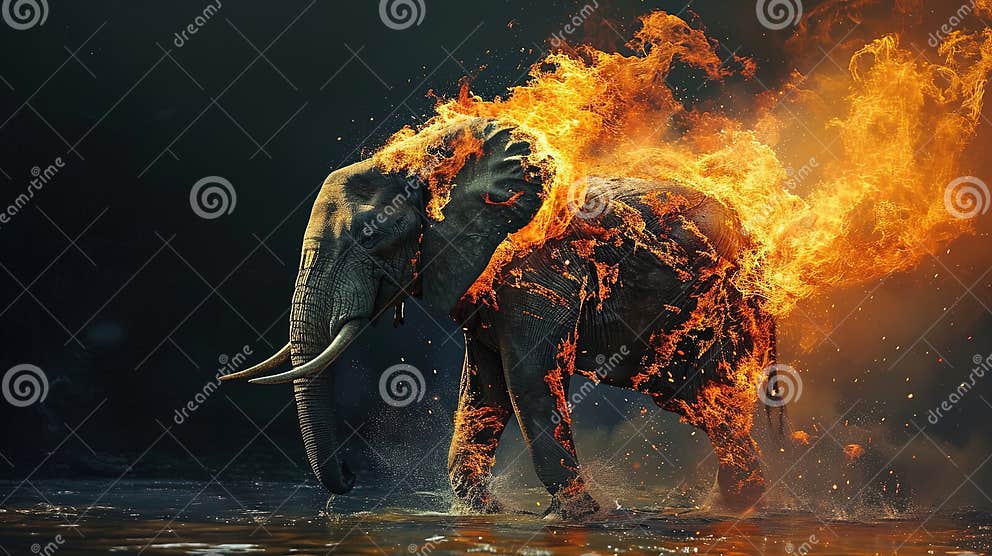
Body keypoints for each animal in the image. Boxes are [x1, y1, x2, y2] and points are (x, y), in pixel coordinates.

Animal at [221, 117, 776, 518]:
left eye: (370, 238)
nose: (352, 477)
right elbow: (483, 390)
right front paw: (484, 513)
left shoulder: (537, 268)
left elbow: (527, 379)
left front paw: (578, 517)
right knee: (707, 406)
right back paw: (728, 505)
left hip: (714, 317)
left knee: (709, 398)